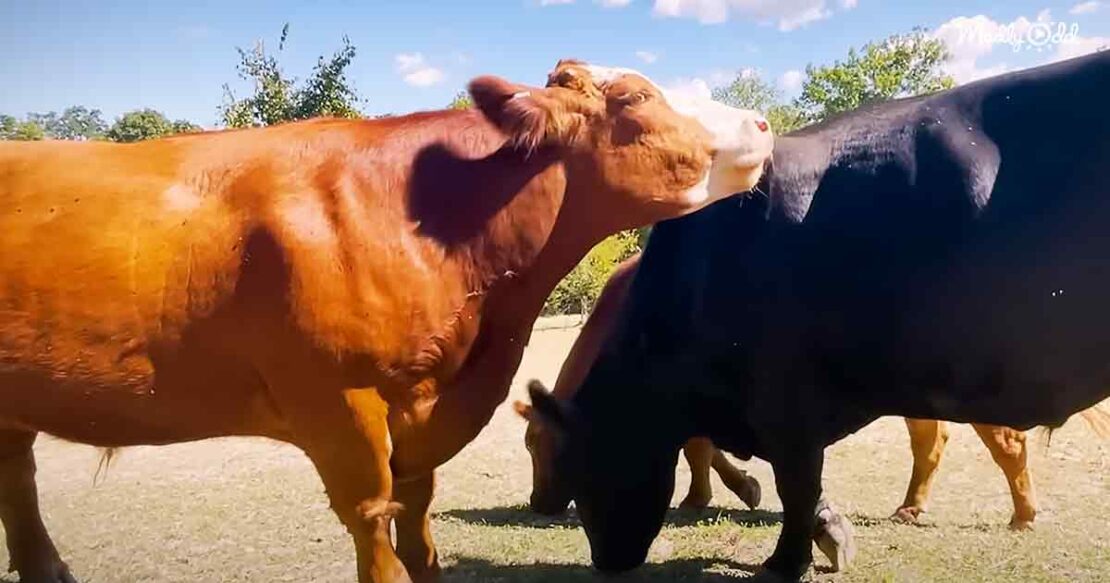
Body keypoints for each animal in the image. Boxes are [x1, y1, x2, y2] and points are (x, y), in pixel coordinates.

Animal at [0, 59, 774, 583]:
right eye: (637, 96)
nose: (764, 123)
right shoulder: (340, 403)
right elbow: (377, 530)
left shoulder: (421, 407)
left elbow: (420, 526)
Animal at [524, 51, 1110, 582]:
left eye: (574, 459)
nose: (605, 560)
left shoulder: (784, 406)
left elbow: (795, 484)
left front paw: (787, 559)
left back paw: (1017, 516)